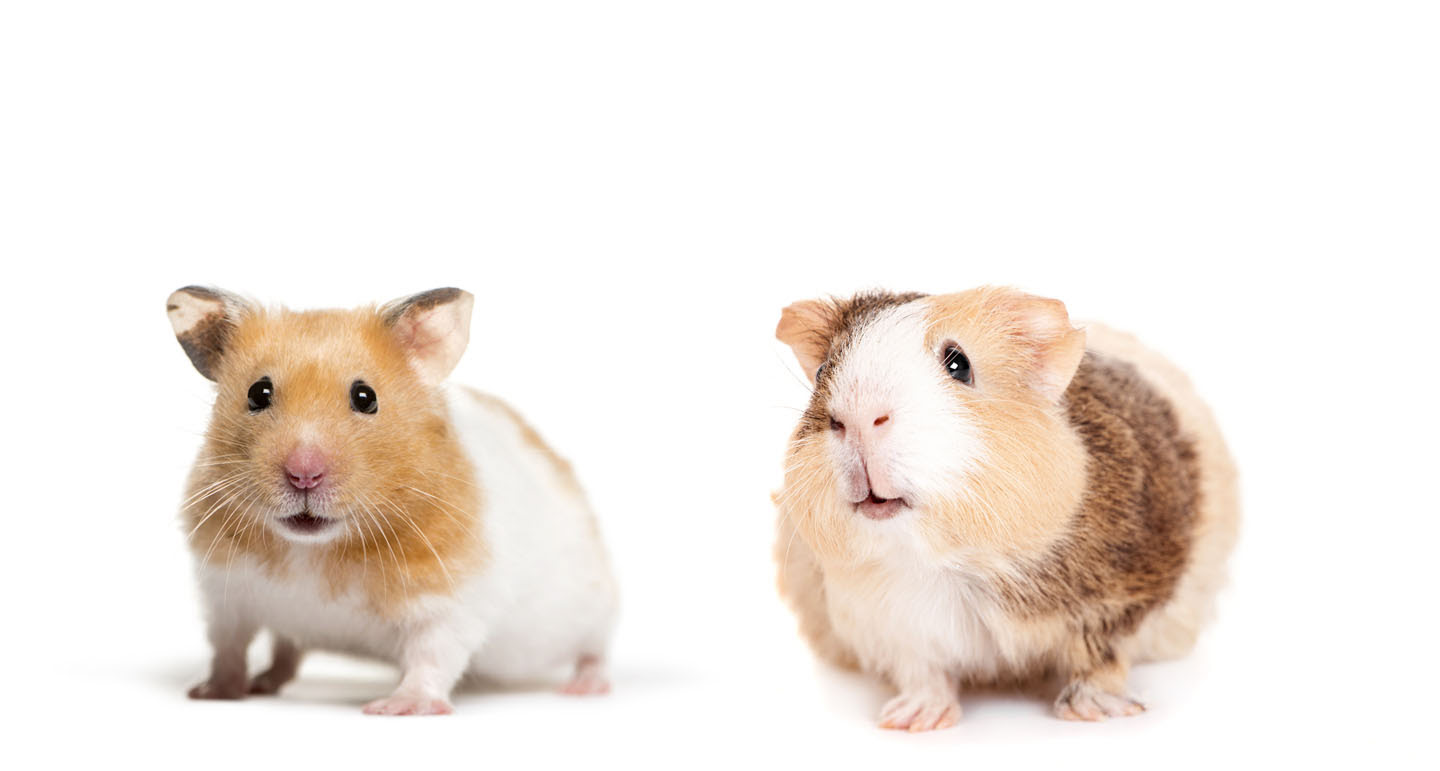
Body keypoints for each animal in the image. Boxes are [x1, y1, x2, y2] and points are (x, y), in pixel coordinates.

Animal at [167, 286, 617, 715]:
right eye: (258, 393)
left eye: (365, 397)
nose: (303, 474)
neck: (312, 551)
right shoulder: (224, 593)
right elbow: (228, 648)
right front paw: (211, 693)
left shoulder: (451, 598)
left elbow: (433, 655)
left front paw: (396, 708)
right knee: (286, 650)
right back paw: (264, 682)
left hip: (592, 605)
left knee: (596, 647)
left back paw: (586, 687)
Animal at [773, 287, 1238, 730]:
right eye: (822, 370)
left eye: (958, 365)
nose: (856, 418)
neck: (952, 566)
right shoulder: (887, 626)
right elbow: (923, 674)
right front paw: (910, 721)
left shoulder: (1125, 601)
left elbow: (1100, 659)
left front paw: (1094, 711)